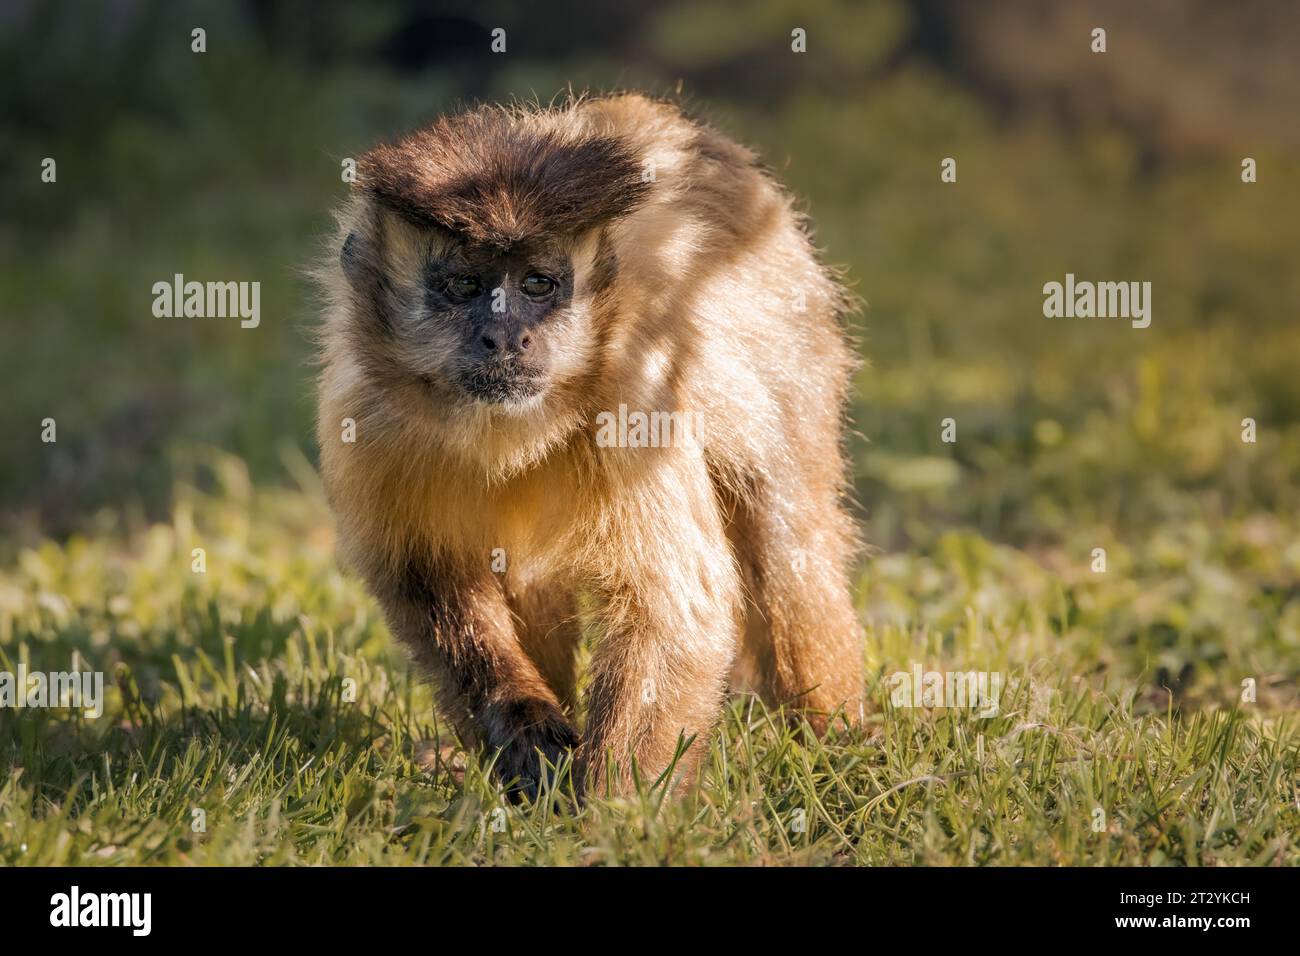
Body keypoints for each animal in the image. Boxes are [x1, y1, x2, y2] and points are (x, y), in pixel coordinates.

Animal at [315, 93, 864, 799]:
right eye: (466, 286)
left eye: (537, 285)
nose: (506, 337)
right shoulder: (366, 415)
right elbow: (423, 577)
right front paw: (523, 733)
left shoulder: (638, 385)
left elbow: (675, 609)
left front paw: (608, 812)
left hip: (801, 342)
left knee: (783, 531)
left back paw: (837, 747)